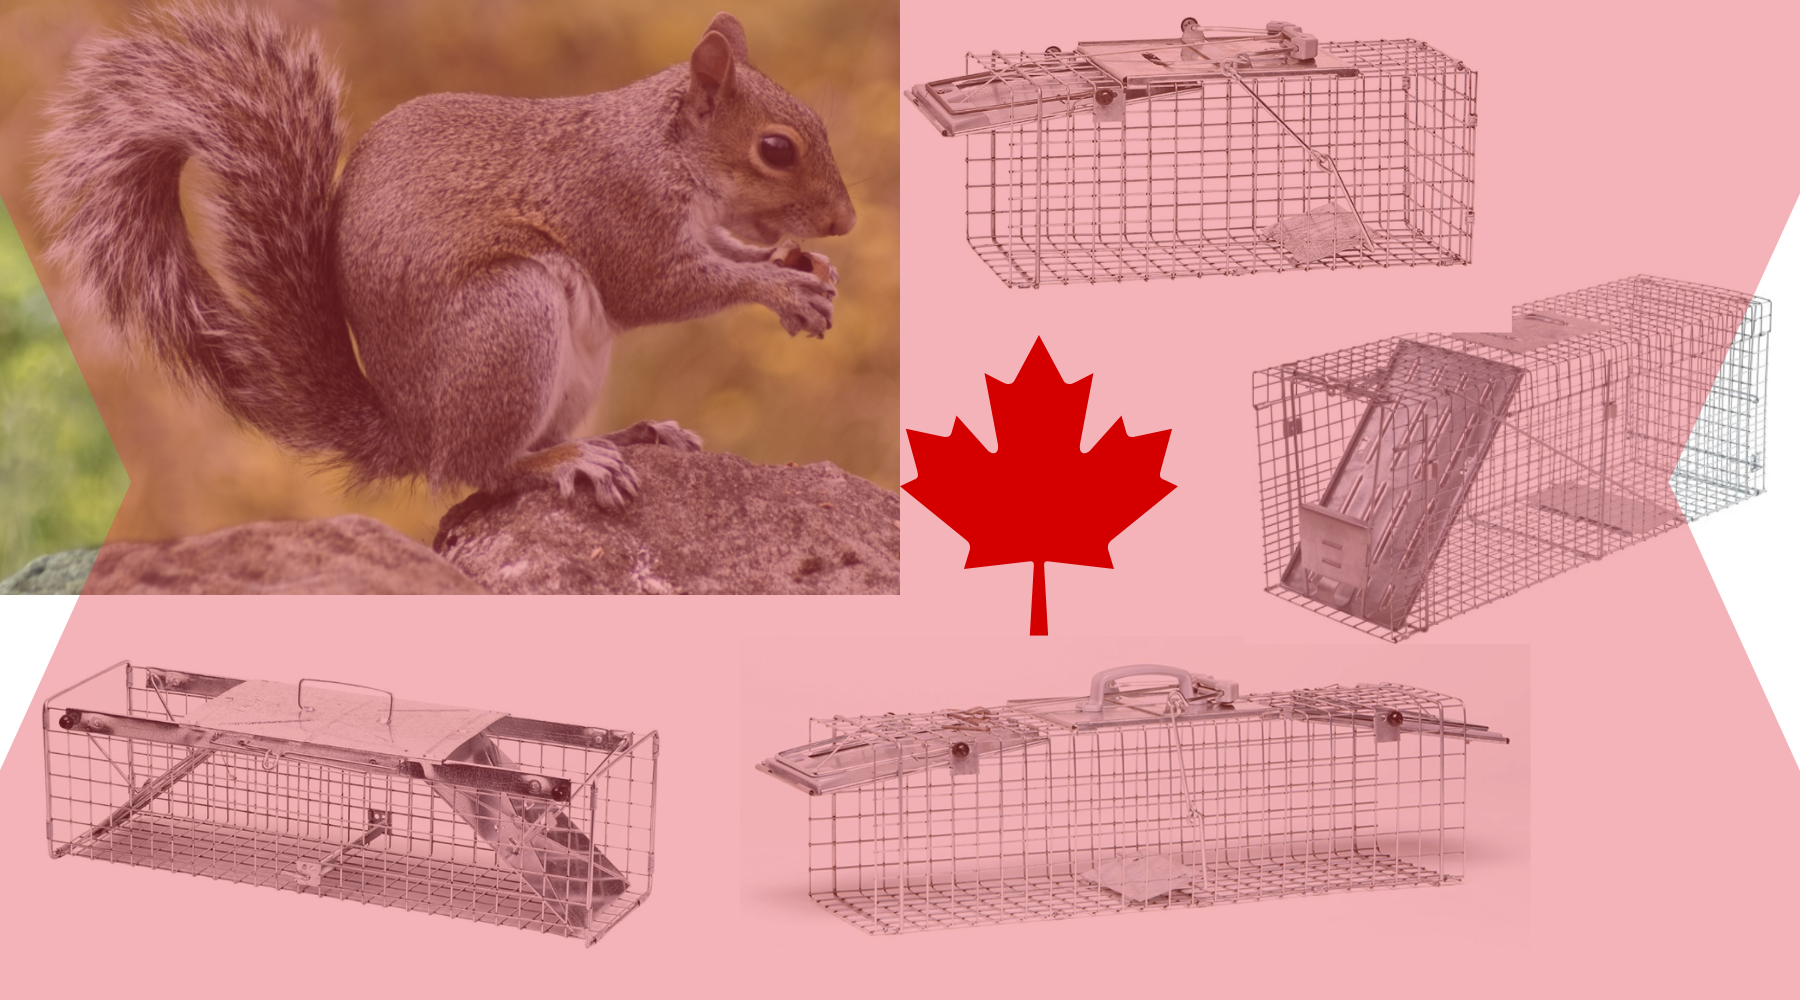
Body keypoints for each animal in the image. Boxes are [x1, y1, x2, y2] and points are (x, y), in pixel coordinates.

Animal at [34, 4, 855, 508]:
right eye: (776, 148)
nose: (844, 221)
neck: (667, 148)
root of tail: (414, 432)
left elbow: (723, 250)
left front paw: (803, 266)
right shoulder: (620, 210)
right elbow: (661, 286)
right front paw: (783, 289)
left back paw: (630, 435)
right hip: (510, 319)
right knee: (476, 471)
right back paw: (565, 462)